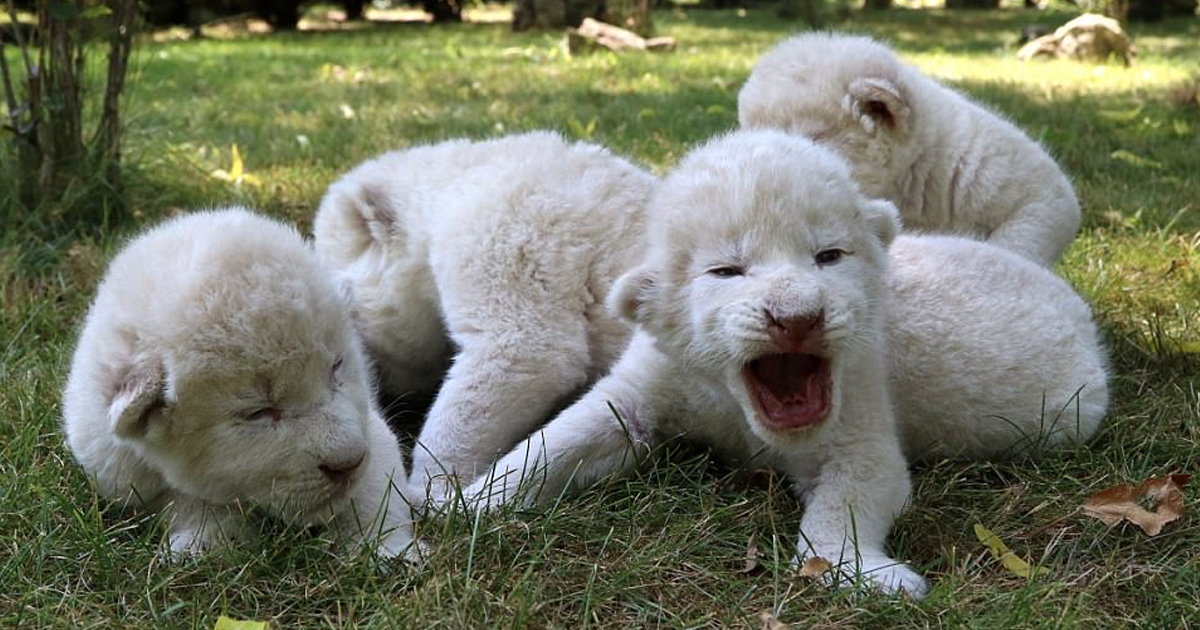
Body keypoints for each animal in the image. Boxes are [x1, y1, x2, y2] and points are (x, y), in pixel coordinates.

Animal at [62, 208, 417, 561]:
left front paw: (384, 550)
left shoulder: (371, 429)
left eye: (336, 369)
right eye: (258, 412)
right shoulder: (122, 474)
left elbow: (375, 491)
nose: (348, 463)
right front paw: (202, 544)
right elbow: (194, 503)